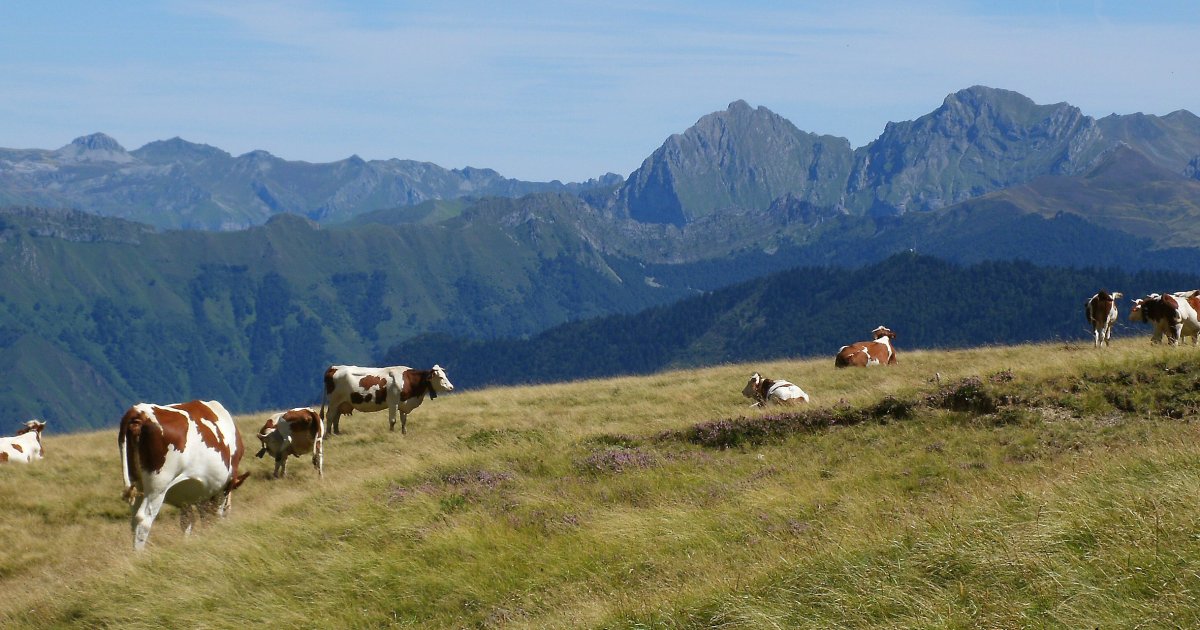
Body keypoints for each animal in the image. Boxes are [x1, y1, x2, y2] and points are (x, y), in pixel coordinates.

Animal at [118, 398, 249, 549]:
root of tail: (139, 412)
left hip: (137, 484)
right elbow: (213, 515)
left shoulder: (187, 495)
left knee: (134, 519)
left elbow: (188, 521)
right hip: (157, 486)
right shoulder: (224, 487)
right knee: (144, 520)